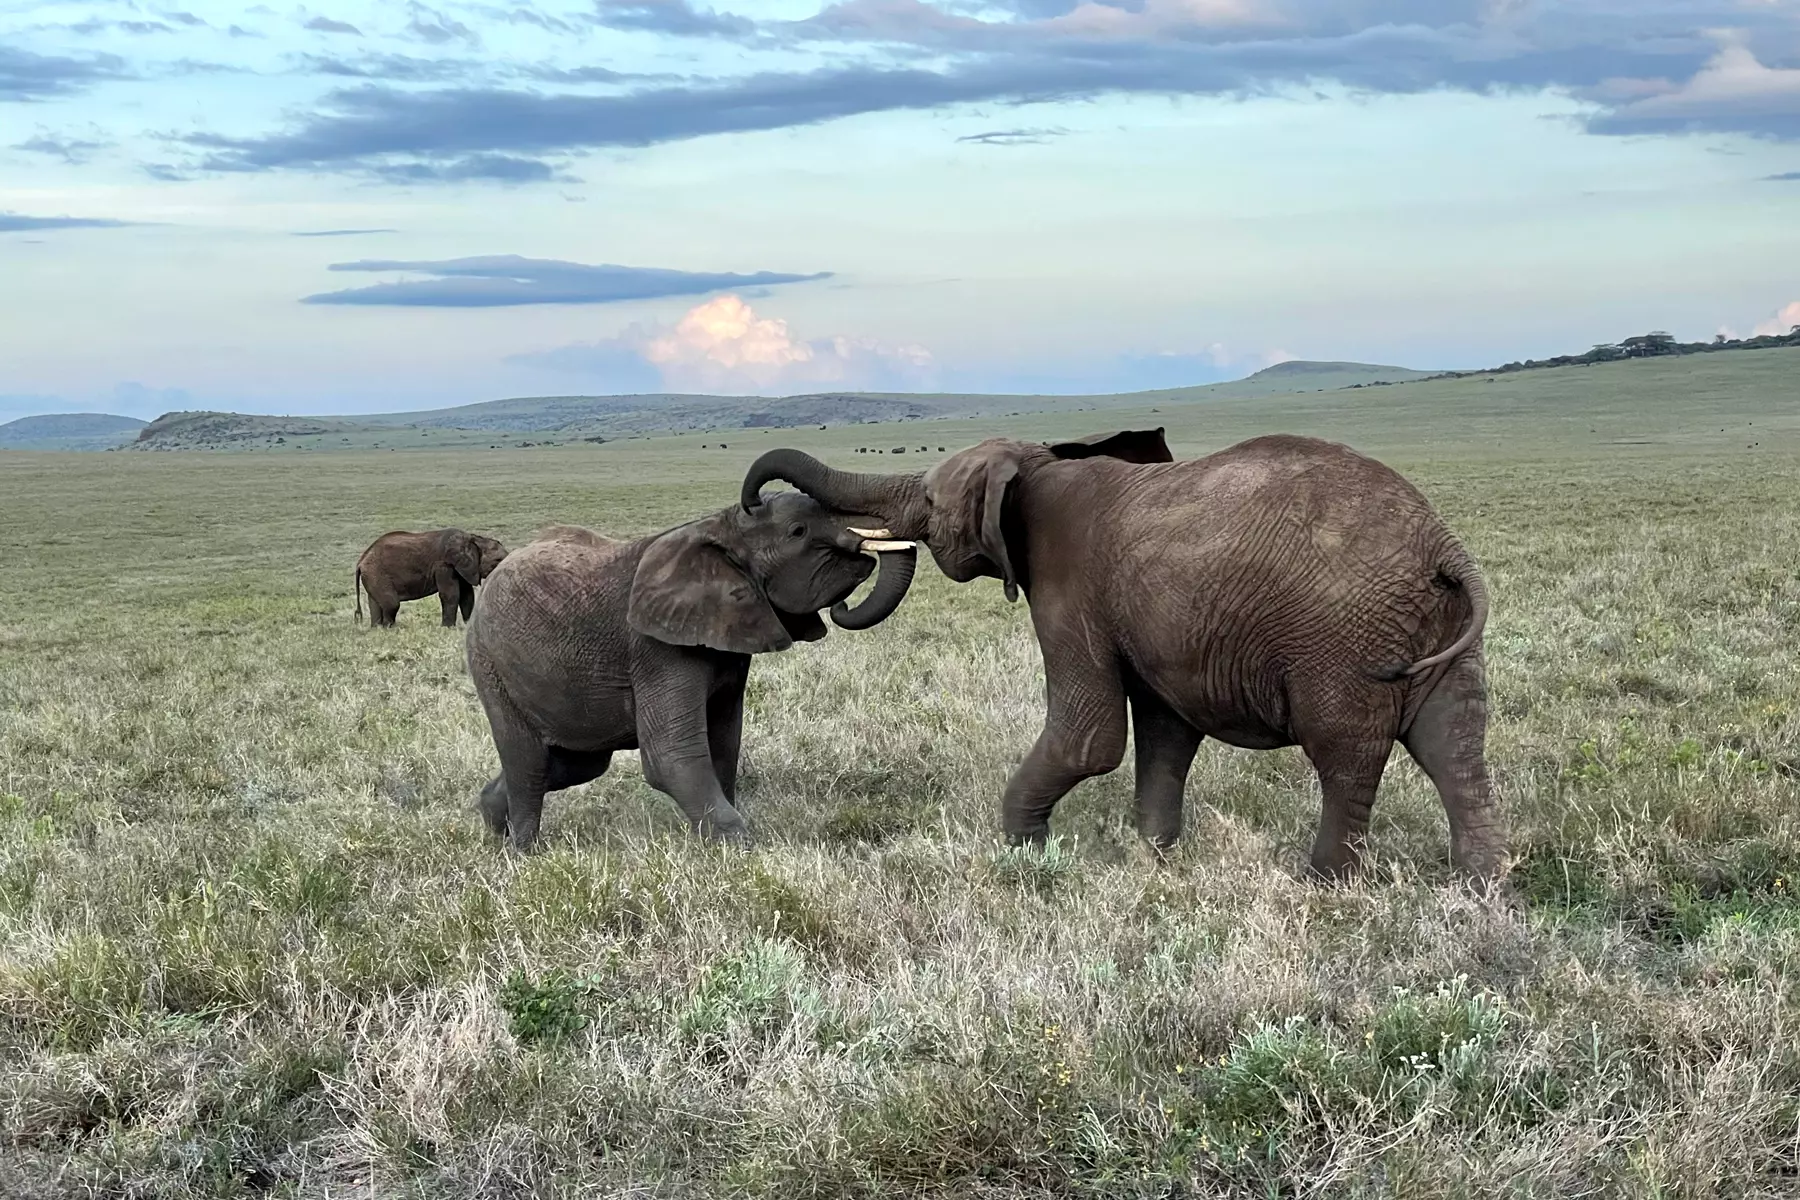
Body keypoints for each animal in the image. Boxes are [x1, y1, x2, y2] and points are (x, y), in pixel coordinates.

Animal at [352, 528, 511, 633]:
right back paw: (390, 630)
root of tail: (361, 561)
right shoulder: (444, 565)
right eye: (498, 560)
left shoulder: (464, 567)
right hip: (376, 574)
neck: (474, 539)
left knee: (375, 604)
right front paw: (448, 629)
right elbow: (451, 595)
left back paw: (377, 630)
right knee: (392, 603)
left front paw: (468, 627)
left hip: (372, 576)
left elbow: (467, 596)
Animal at [464, 492, 914, 849]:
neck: (722, 527)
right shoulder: (657, 647)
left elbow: (724, 744)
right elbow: (671, 757)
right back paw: (524, 852)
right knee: (529, 763)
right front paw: (744, 848)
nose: (844, 603)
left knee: (577, 763)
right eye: (798, 532)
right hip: (489, 664)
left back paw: (492, 820)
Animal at [741, 431, 1504, 881]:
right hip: (1433, 630)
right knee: (1454, 744)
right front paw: (1152, 855)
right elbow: (1165, 728)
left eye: (928, 497)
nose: (754, 505)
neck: (1036, 470)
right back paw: (1479, 883)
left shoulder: (1067, 589)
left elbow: (1089, 737)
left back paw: (1324, 882)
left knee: (1345, 752)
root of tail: (1442, 546)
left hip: (1342, 634)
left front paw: (1025, 850)